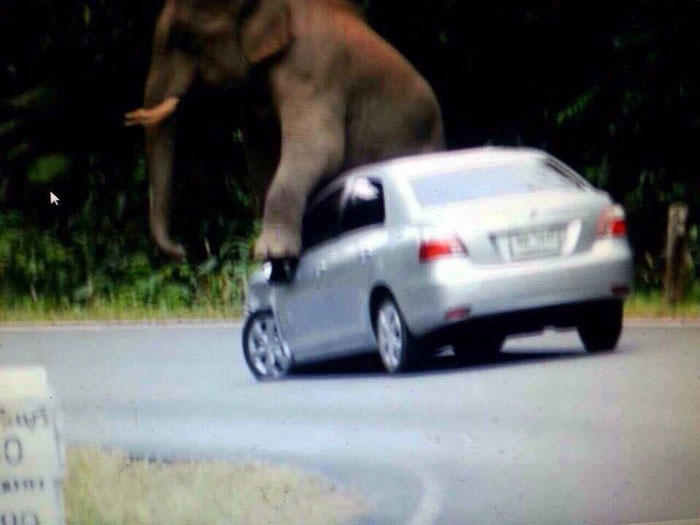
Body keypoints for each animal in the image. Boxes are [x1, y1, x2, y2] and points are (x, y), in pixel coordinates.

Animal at [126, 0, 444, 262]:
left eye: (185, 39)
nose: (183, 251)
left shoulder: (313, 70)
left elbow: (318, 149)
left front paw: (271, 253)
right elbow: (262, 156)